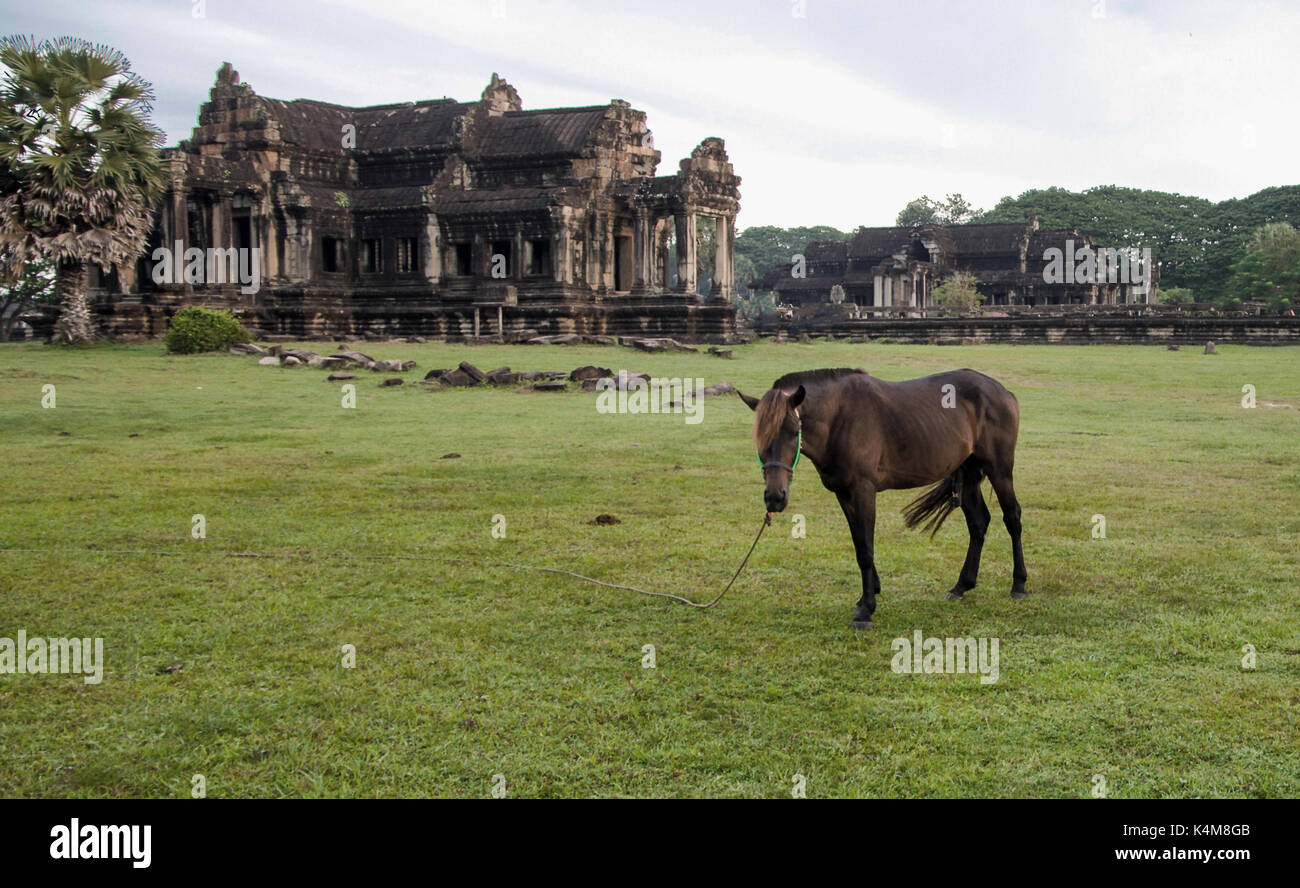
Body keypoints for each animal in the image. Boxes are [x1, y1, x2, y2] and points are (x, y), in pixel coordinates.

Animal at [737, 368, 1027, 629]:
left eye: (793, 431)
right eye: (760, 437)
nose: (775, 497)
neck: (840, 417)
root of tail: (1003, 391)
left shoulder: (863, 490)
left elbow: (866, 548)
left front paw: (866, 610)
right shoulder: (844, 494)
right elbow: (859, 543)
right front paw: (867, 595)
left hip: (999, 470)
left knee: (1012, 518)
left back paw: (1019, 584)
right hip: (967, 472)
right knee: (978, 523)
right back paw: (961, 586)